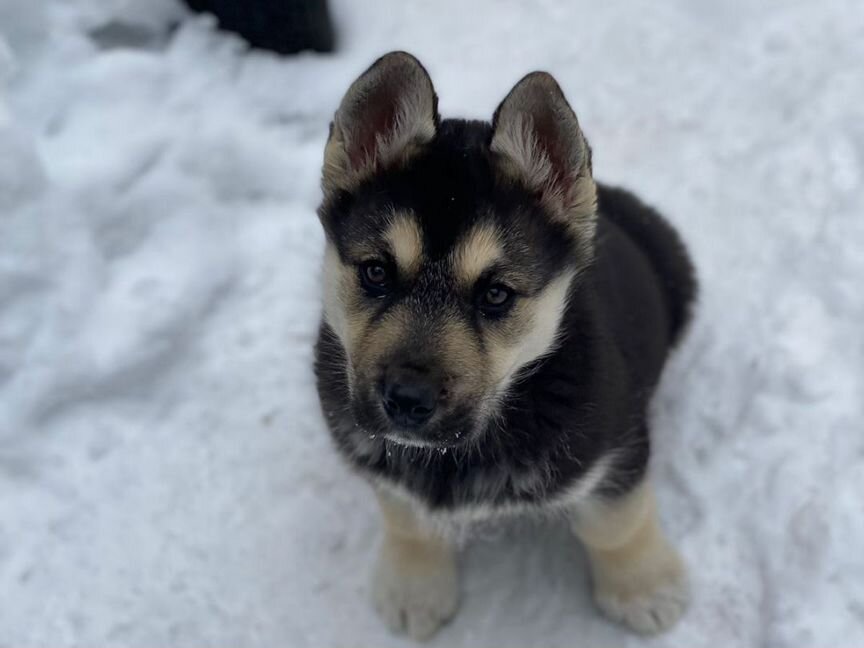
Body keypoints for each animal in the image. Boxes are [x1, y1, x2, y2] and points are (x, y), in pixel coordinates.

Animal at [314, 53, 700, 640]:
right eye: (376, 272)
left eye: (496, 294)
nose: (406, 400)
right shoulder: (384, 467)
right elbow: (407, 518)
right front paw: (415, 588)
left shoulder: (615, 451)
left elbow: (617, 523)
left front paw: (644, 588)